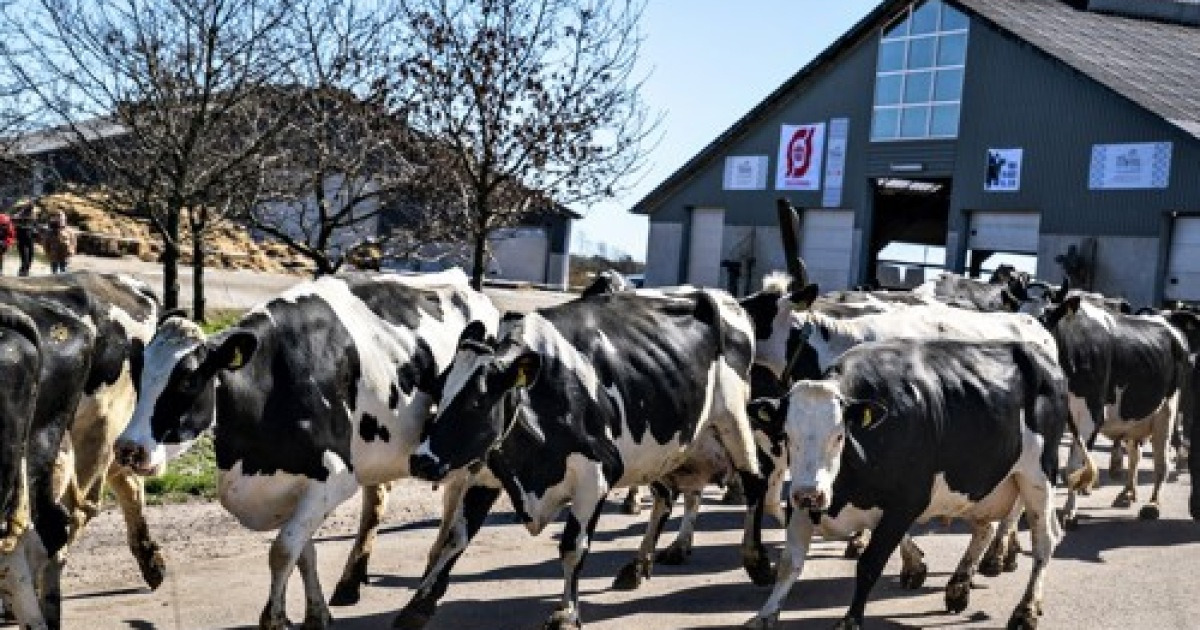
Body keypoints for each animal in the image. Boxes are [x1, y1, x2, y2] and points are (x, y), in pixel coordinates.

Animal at [114, 270, 499, 630]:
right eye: (137, 373)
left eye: (189, 379)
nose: (128, 449)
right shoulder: (291, 485)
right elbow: (304, 552)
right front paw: (316, 614)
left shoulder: (335, 478)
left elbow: (283, 550)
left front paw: (273, 617)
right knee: (382, 502)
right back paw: (352, 582)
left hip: (467, 457)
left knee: (454, 516)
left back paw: (427, 590)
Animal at [407, 289, 760, 630]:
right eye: (439, 391)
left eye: (477, 402)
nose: (420, 461)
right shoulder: (488, 471)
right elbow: (456, 537)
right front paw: (418, 603)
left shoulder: (597, 475)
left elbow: (572, 547)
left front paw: (566, 613)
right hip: (658, 451)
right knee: (665, 496)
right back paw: (638, 566)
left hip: (733, 419)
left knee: (754, 482)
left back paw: (757, 560)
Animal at [744, 339, 1067, 630]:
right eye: (786, 435)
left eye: (839, 436)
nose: (810, 494)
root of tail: (1040, 354)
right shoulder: (803, 502)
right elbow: (789, 564)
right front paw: (764, 615)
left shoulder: (907, 500)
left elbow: (870, 563)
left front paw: (851, 620)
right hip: (980, 483)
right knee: (985, 528)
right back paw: (958, 587)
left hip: (1038, 476)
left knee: (1044, 540)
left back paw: (1026, 610)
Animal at [1043, 295, 1192, 521]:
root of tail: (1169, 320)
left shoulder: (1090, 417)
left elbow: (1074, 469)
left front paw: (1069, 512)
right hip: (1133, 416)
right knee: (1135, 456)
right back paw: (1127, 493)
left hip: (1167, 410)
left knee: (1161, 461)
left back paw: (1153, 504)